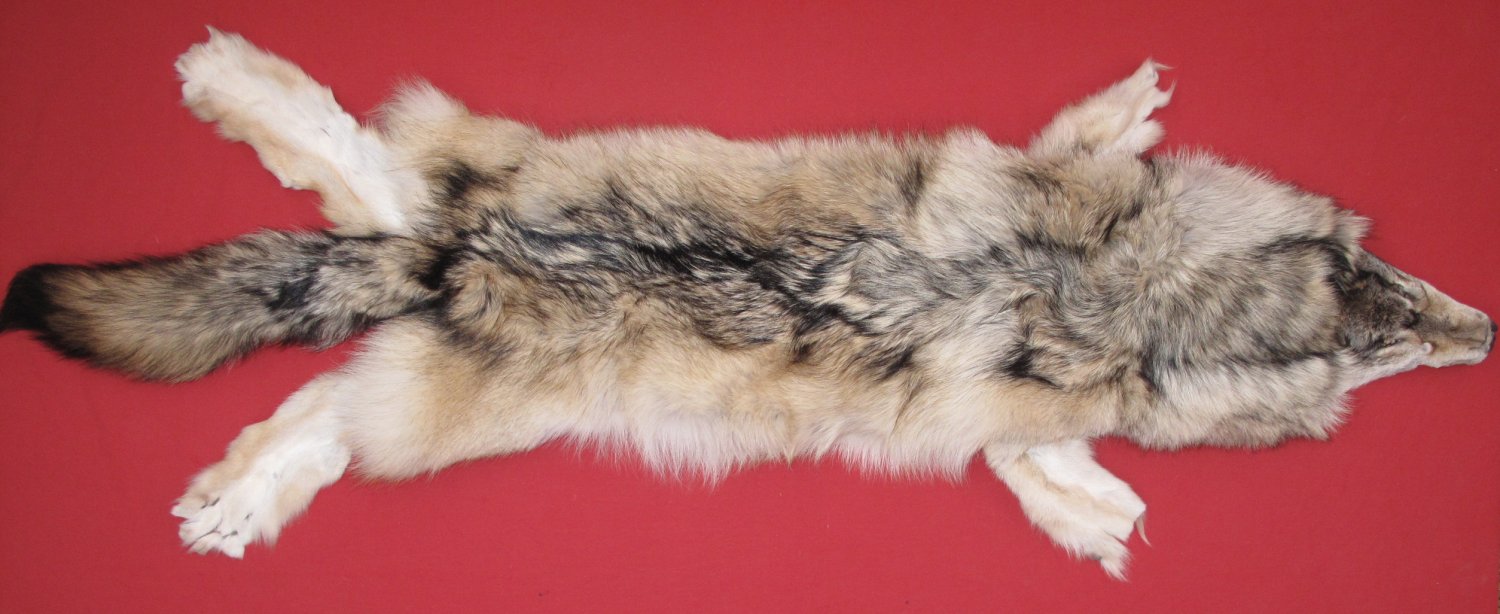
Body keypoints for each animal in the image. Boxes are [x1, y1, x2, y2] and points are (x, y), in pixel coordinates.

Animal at [0, 30, 1491, 578]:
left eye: (1397, 298)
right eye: (1390, 336)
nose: (1484, 332)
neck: (1120, 288)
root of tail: (454, 264)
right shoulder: (1015, 378)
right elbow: (1047, 463)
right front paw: (1106, 515)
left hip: (455, 224)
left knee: (356, 208)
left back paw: (234, 89)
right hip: (456, 384)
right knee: (335, 375)